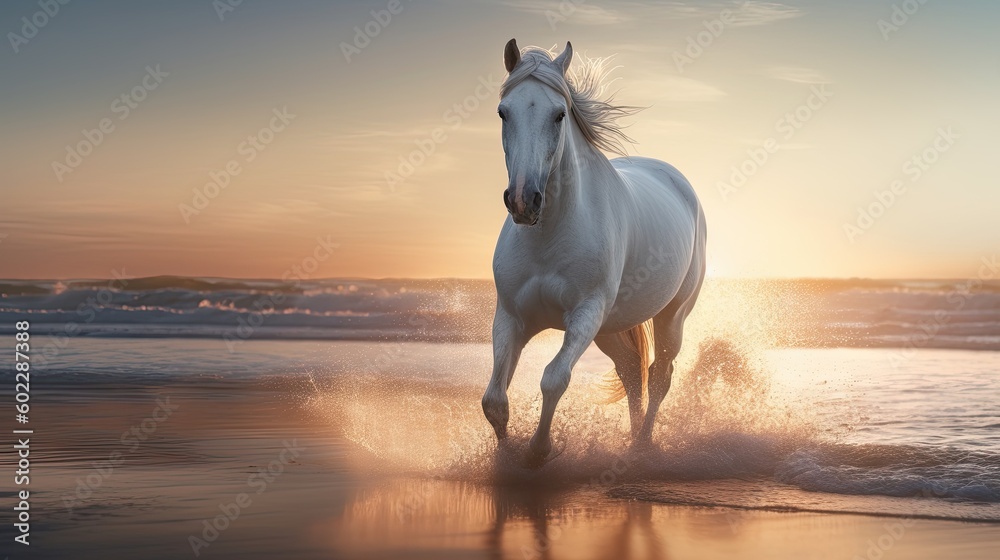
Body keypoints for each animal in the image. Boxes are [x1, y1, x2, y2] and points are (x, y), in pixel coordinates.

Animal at [481, 39, 707, 467]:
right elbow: (494, 401)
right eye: (503, 112)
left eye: (559, 114)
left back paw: (642, 447)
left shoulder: (585, 313)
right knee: (633, 372)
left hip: (671, 316)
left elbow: (554, 379)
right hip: (611, 328)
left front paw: (538, 452)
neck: (549, 236)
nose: (523, 201)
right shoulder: (511, 317)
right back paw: (633, 441)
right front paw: (507, 461)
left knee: (659, 376)